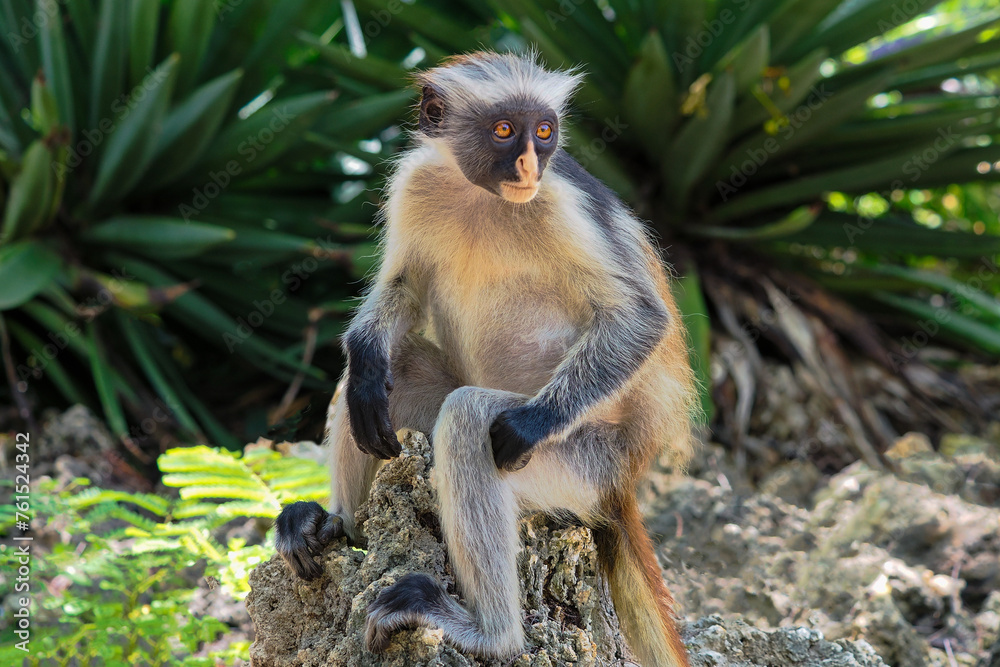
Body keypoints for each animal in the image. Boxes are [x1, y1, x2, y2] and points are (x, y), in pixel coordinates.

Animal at [274, 51, 697, 667]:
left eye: (543, 132)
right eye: (503, 130)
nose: (527, 164)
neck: (484, 198)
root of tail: (627, 477)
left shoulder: (563, 200)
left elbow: (642, 319)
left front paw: (530, 423)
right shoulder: (418, 182)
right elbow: (402, 291)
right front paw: (366, 352)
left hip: (585, 466)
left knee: (469, 417)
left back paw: (491, 635)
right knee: (379, 383)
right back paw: (336, 527)